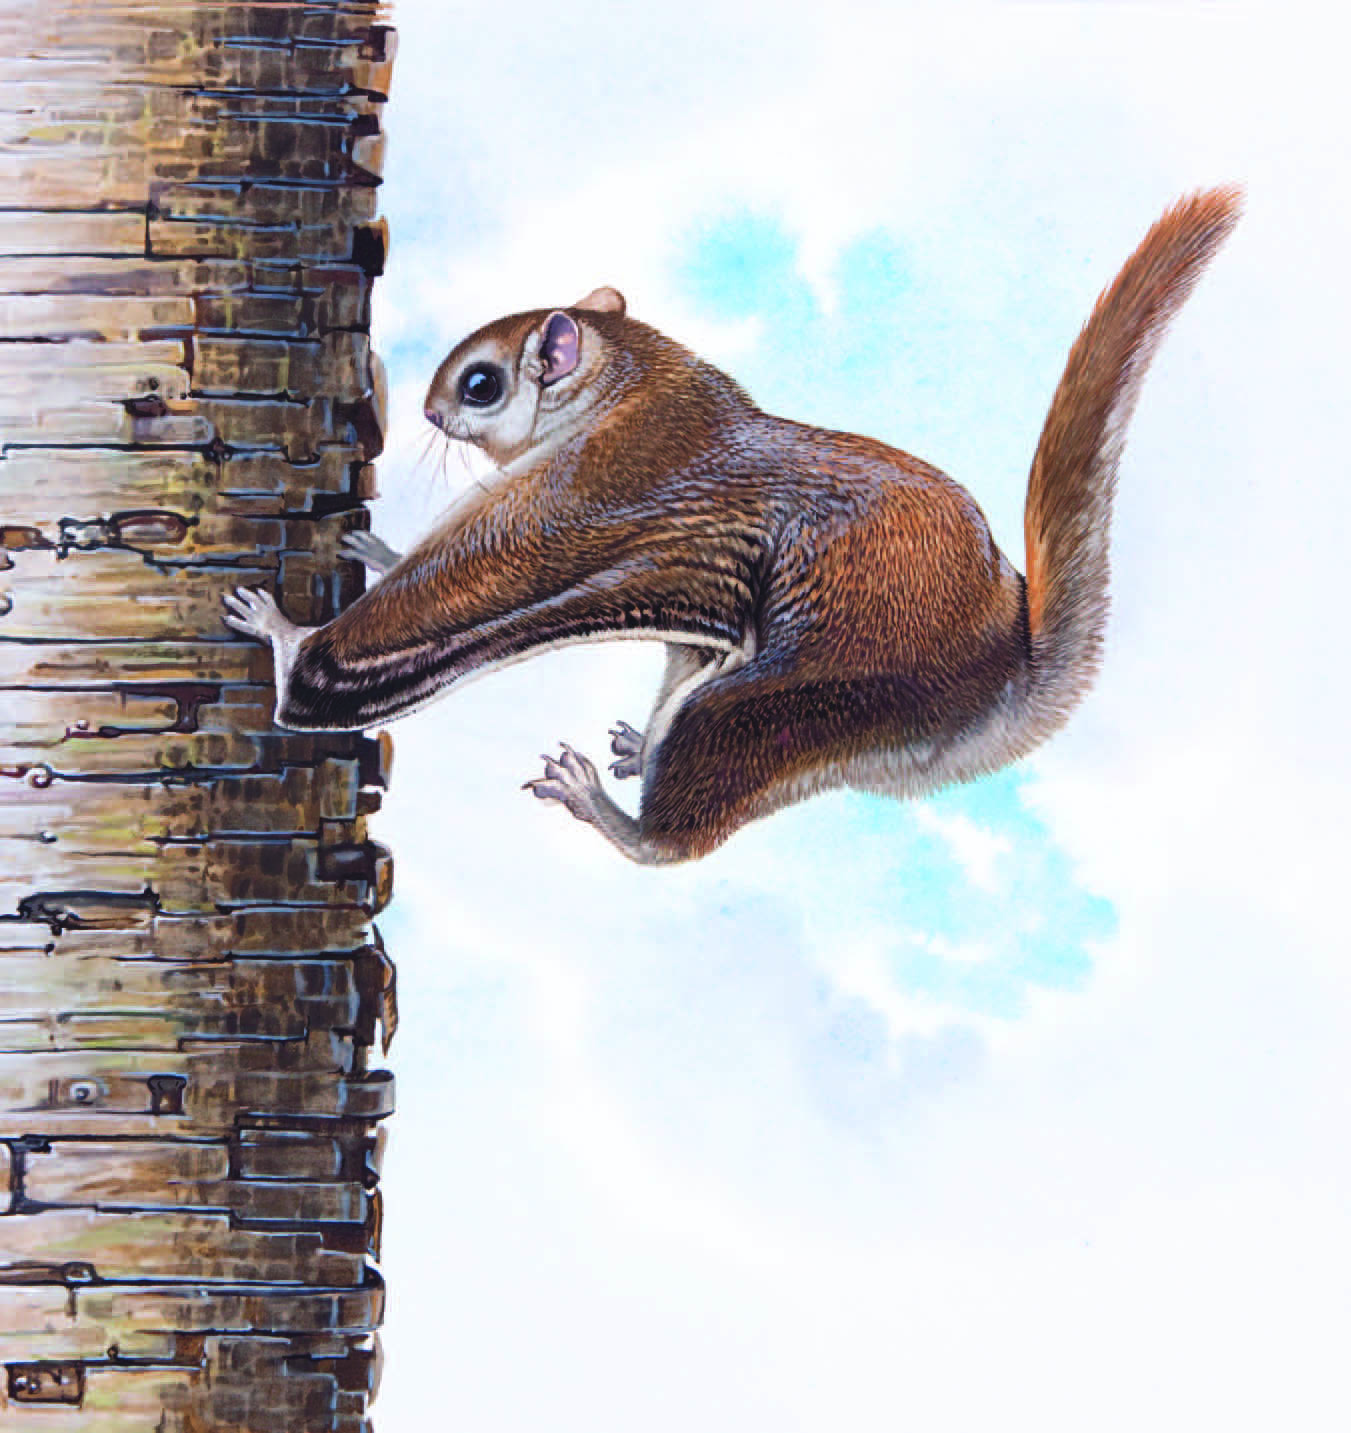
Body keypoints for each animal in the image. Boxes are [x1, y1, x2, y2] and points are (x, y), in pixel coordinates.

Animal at [223, 187, 1241, 865]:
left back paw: (608, 806)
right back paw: (638, 749)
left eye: (479, 381)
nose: (430, 410)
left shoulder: (582, 491)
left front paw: (282, 631)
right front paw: (374, 544)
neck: (628, 377)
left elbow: (385, 631)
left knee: (674, 833)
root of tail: (999, 677)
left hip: (790, 707)